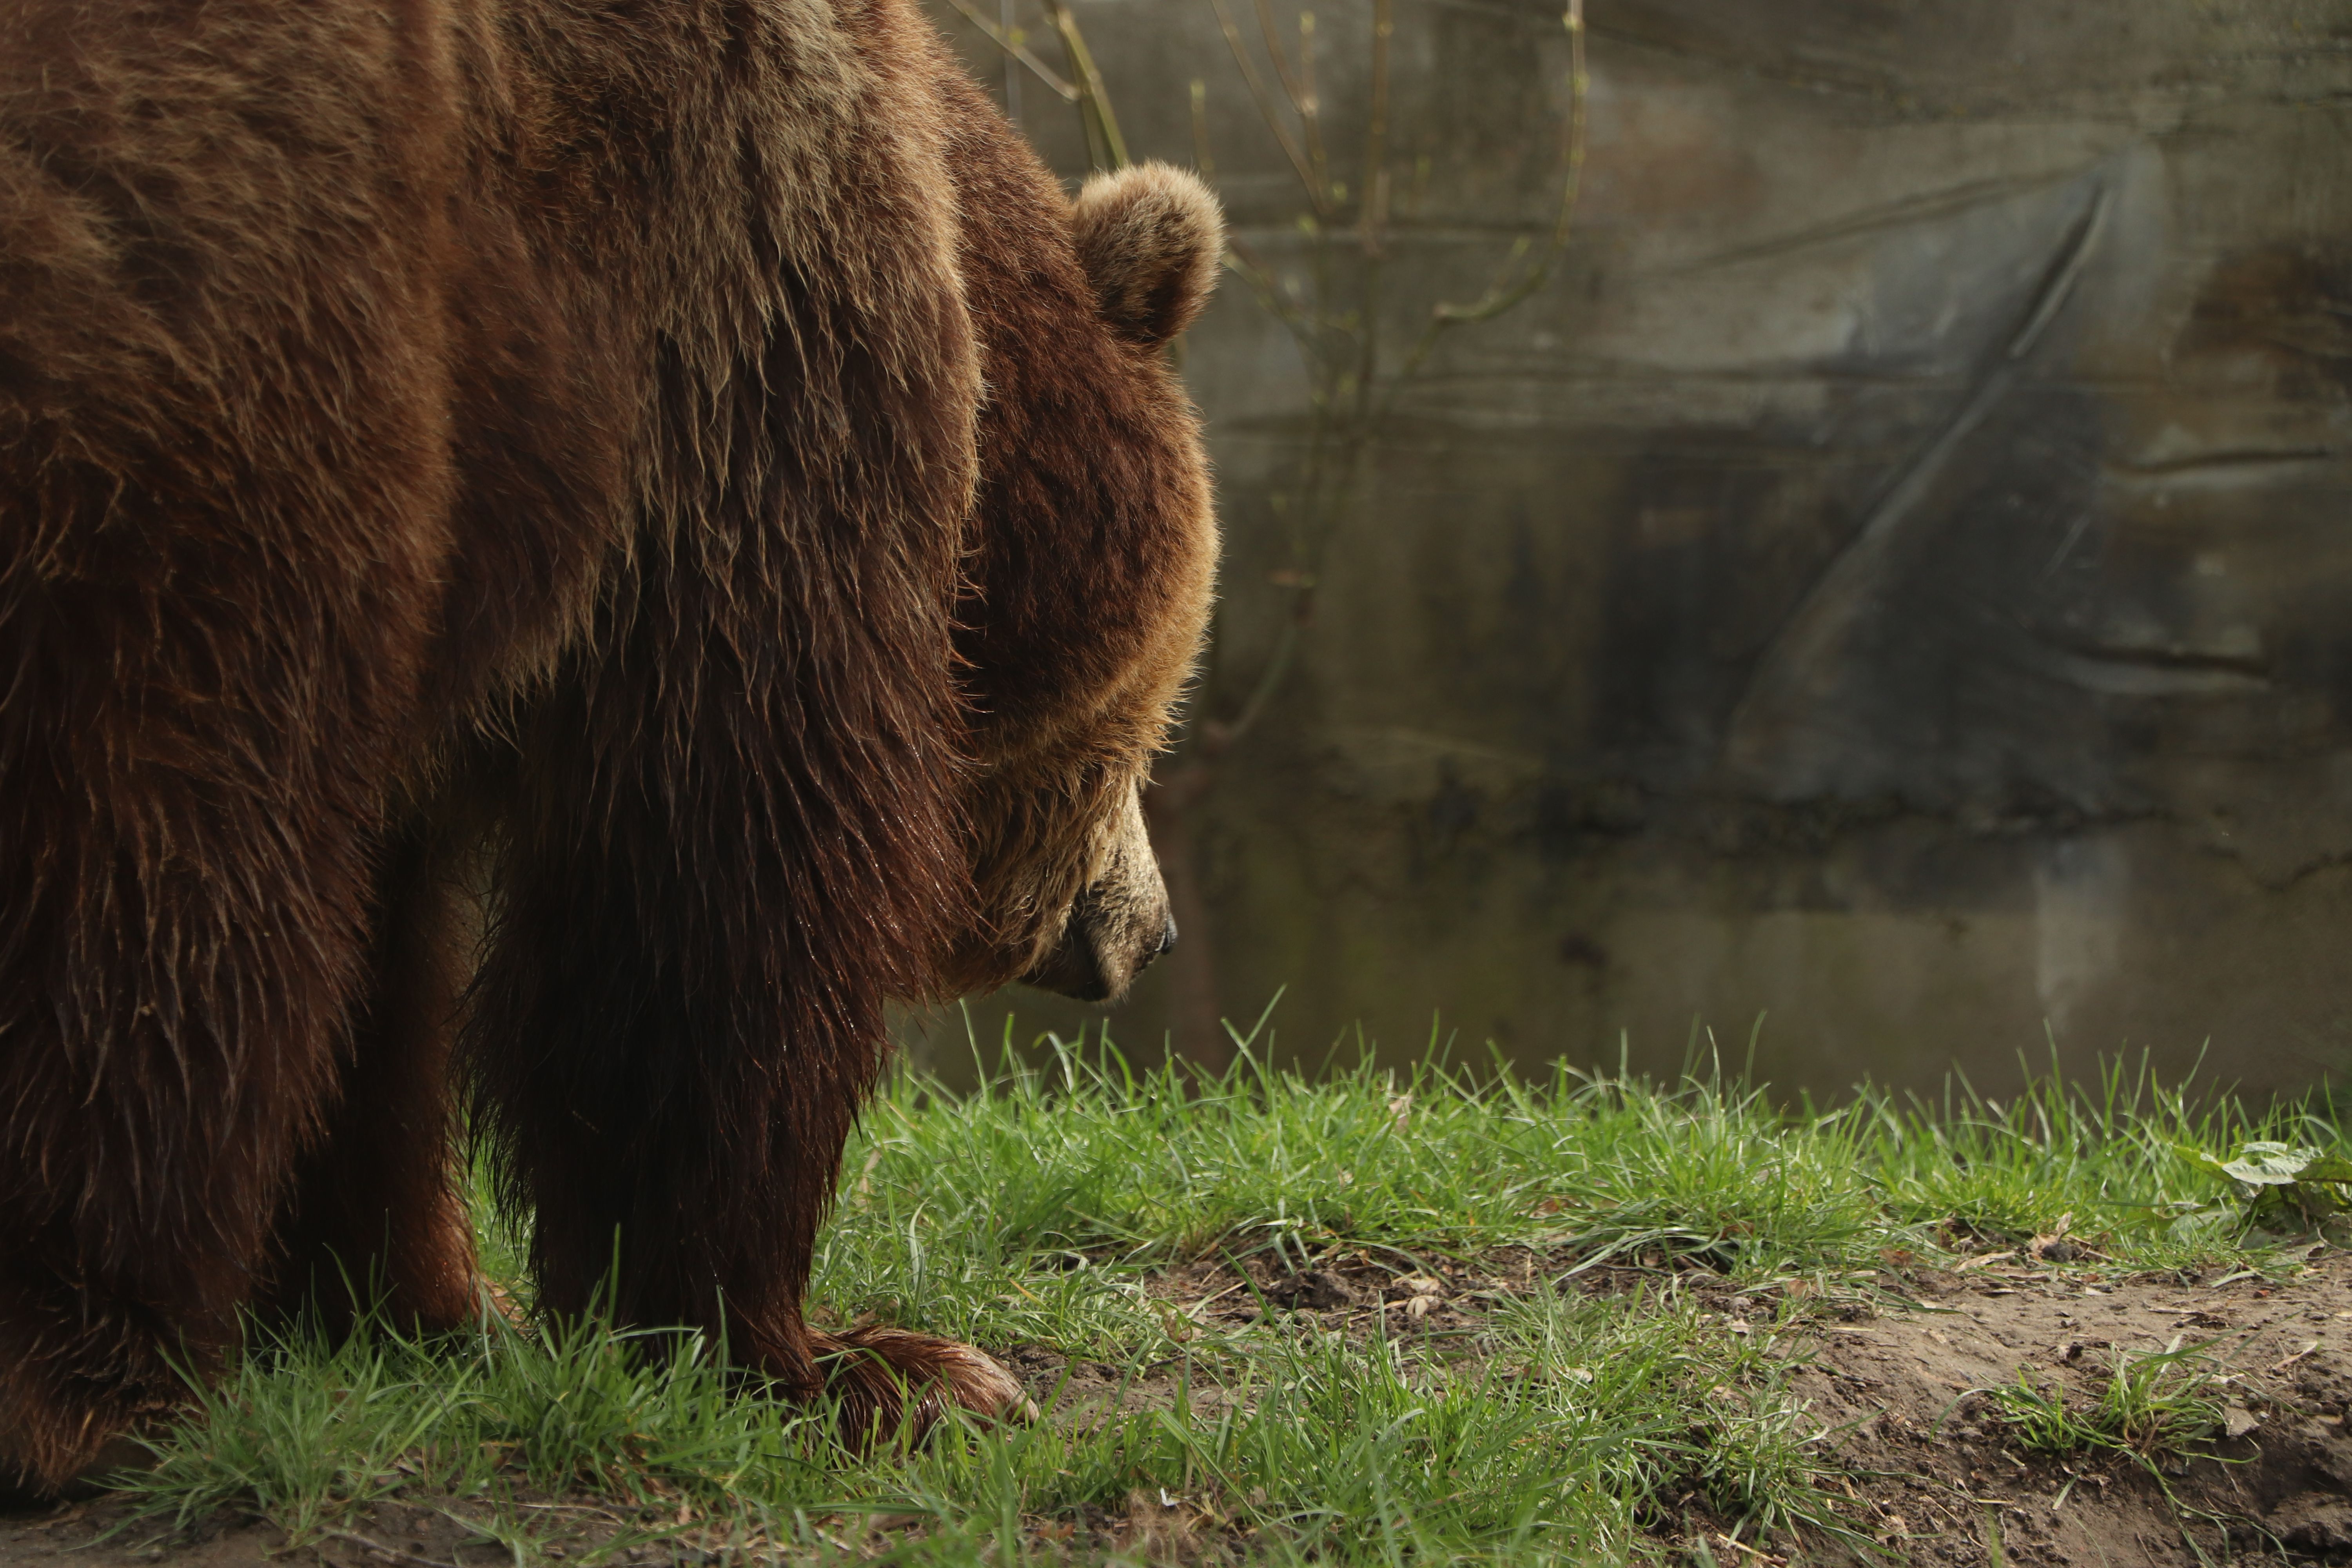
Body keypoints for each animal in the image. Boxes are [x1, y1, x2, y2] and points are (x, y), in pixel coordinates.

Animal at [0, 0, 1219, 1494]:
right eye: (1151, 717)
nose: (1145, 929)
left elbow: (386, 950)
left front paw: (413, 1301)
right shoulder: (740, 299)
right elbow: (710, 872)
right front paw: (856, 1362)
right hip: (209, 317)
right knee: (161, 825)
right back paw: (86, 1374)